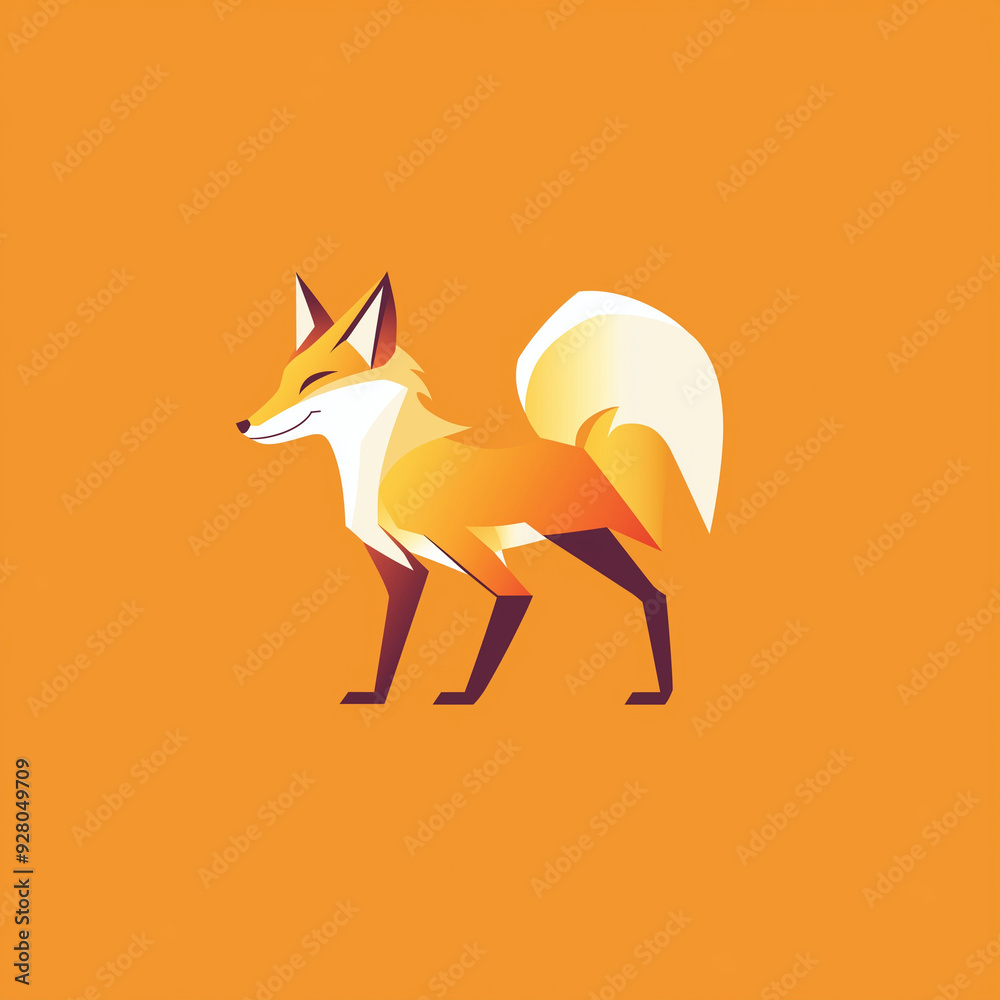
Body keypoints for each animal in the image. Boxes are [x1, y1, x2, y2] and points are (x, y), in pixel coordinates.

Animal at [236, 273, 723, 705]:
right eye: (284, 377)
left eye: (314, 380)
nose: (244, 423)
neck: (383, 461)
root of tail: (586, 452)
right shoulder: (401, 565)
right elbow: (392, 642)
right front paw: (377, 697)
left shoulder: (463, 546)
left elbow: (514, 600)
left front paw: (466, 697)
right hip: (585, 540)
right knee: (654, 595)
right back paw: (660, 694)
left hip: (578, 538)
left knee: (653, 595)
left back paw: (660, 695)